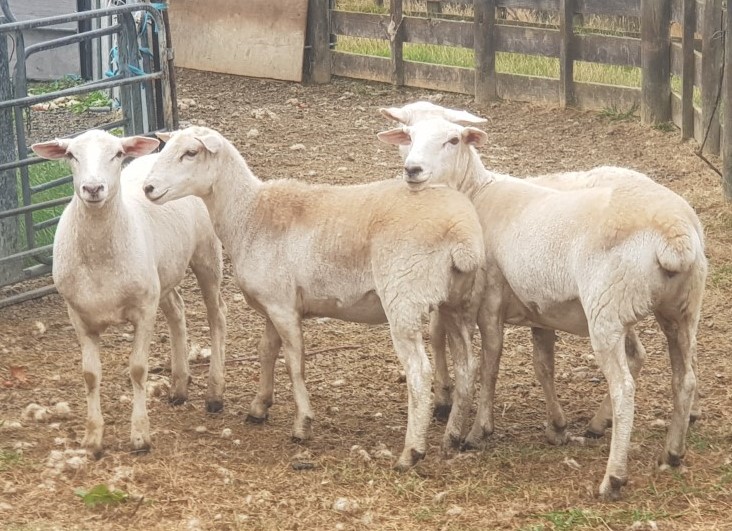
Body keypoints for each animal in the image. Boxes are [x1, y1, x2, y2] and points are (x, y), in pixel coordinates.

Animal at [31, 130, 227, 458]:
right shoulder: (78, 315)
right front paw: (93, 440)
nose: (93, 188)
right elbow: (90, 375)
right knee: (177, 310)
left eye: (118, 154)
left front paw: (140, 437)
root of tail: (158, 154)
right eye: (71, 155)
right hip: (163, 274)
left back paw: (215, 393)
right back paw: (179, 387)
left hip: (206, 253)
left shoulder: (144, 310)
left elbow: (137, 370)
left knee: (217, 315)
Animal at [140, 126, 485, 469]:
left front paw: (302, 424)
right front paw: (259, 407)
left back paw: (411, 451)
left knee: (419, 372)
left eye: (190, 153)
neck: (250, 214)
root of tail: (463, 236)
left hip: (404, 298)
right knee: (468, 365)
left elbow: (295, 363)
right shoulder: (274, 303)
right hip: (457, 302)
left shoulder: (282, 308)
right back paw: (453, 436)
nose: (148, 188)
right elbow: (266, 351)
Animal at [378, 117, 707, 499]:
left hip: (606, 309)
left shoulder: (490, 297)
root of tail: (675, 233)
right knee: (684, 378)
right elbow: (542, 365)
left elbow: (490, 363)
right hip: (681, 310)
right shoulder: (542, 308)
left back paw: (612, 477)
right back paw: (671, 453)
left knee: (625, 388)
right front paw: (556, 426)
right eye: (410, 136)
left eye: (453, 139)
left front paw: (478, 431)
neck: (476, 194)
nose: (412, 170)